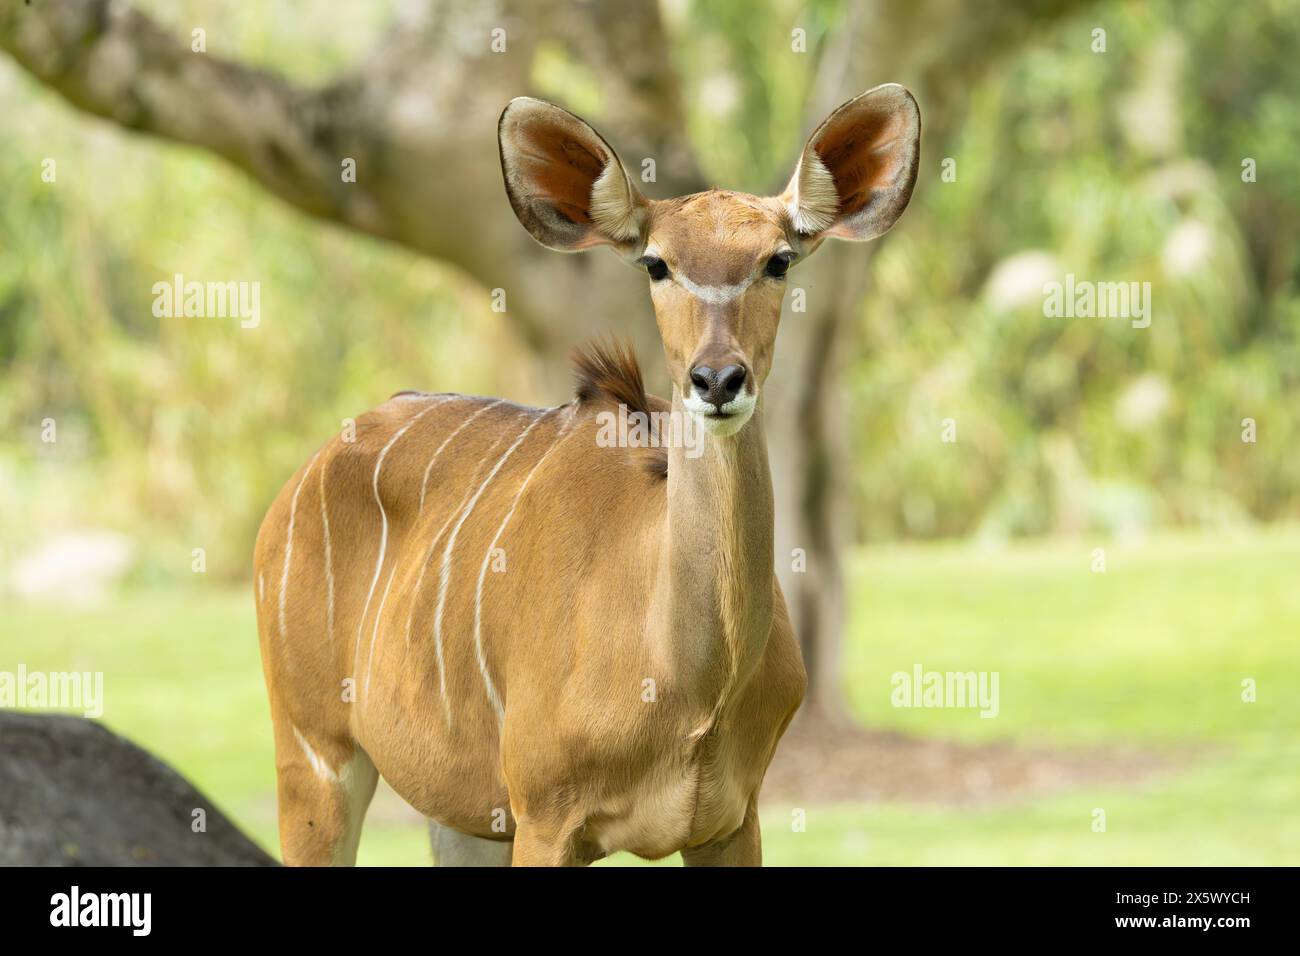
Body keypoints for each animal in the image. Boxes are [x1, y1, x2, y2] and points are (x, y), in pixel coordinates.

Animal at [254, 84, 920, 866]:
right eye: (656, 264)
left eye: (779, 260)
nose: (717, 380)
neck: (690, 689)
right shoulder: (546, 816)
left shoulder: (732, 820)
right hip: (315, 756)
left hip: (460, 812)